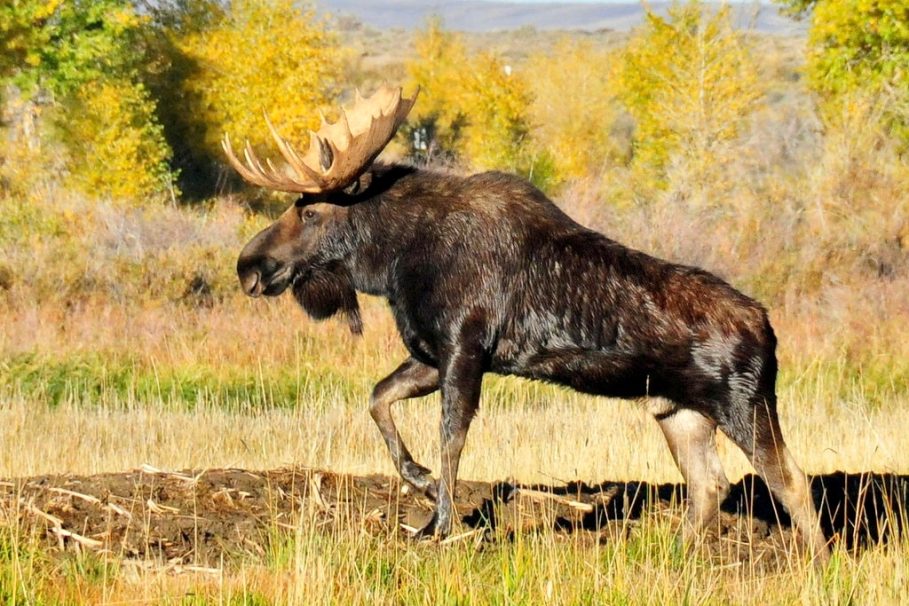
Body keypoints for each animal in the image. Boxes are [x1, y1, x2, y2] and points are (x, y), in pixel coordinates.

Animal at [223, 85, 829, 561]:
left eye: (310, 211)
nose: (248, 266)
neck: (395, 262)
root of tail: (769, 326)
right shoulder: (430, 353)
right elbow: (378, 399)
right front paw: (420, 484)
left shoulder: (464, 347)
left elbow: (451, 438)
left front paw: (440, 525)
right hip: (677, 409)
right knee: (709, 485)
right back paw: (674, 558)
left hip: (745, 403)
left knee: (791, 480)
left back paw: (820, 566)